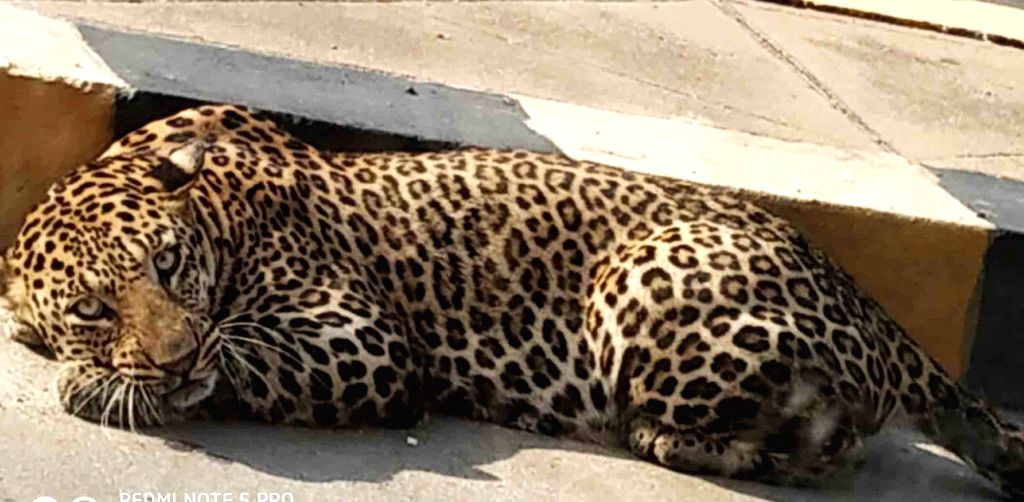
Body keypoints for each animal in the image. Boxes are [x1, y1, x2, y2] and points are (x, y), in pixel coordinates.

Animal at [2, 104, 1023, 497]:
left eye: (171, 264)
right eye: (91, 309)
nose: (172, 356)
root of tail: (877, 311)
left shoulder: (362, 340)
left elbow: (242, 354)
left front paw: (109, 387)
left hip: (641, 282)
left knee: (824, 447)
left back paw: (663, 438)